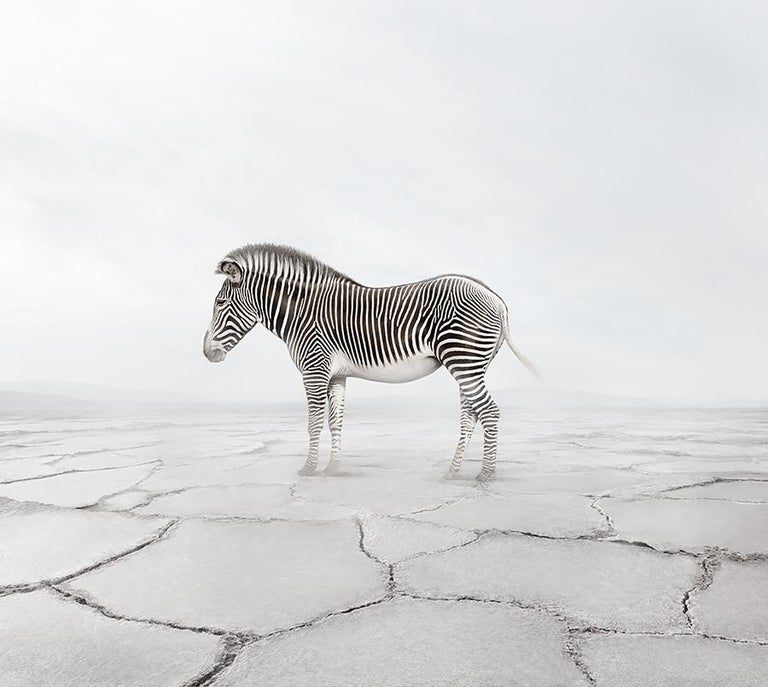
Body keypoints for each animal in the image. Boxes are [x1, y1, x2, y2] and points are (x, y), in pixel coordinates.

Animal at [203, 244, 537, 481]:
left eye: (220, 303)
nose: (207, 353)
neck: (302, 312)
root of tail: (494, 296)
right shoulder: (336, 375)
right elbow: (334, 421)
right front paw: (333, 468)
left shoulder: (314, 370)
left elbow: (314, 423)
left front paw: (308, 468)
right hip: (471, 365)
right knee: (470, 415)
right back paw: (453, 471)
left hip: (464, 361)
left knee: (489, 412)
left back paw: (486, 474)